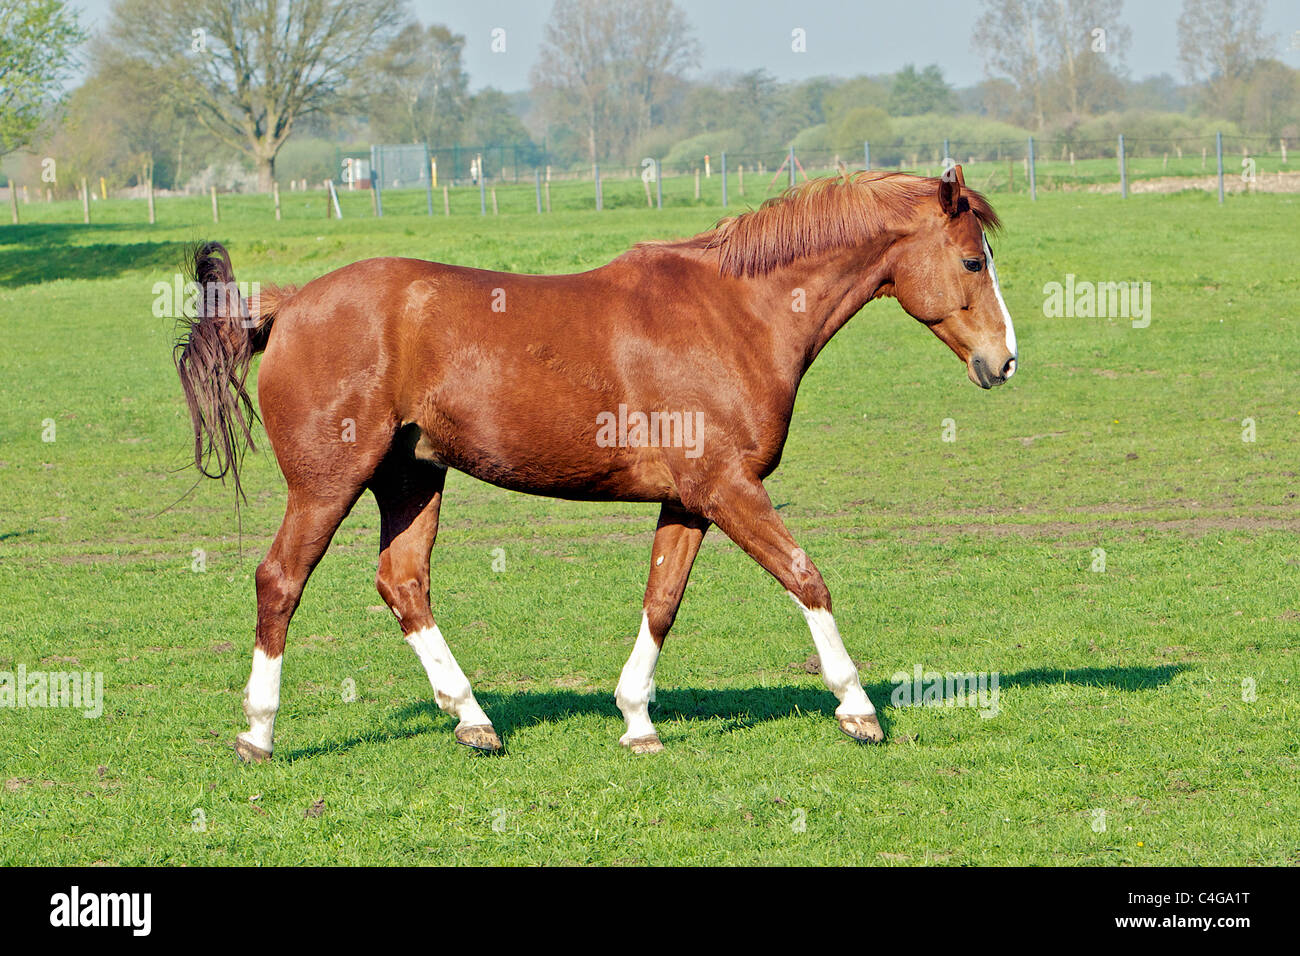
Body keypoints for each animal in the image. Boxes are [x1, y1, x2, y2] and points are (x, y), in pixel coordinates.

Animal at [174, 165, 1016, 760]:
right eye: (973, 262)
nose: (1004, 362)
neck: (736, 313)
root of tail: (289, 303)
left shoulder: (690, 500)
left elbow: (662, 601)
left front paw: (638, 719)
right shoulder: (728, 489)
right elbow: (806, 577)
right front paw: (858, 708)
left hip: (411, 477)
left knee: (402, 582)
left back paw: (473, 718)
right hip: (328, 484)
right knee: (280, 581)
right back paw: (258, 733)